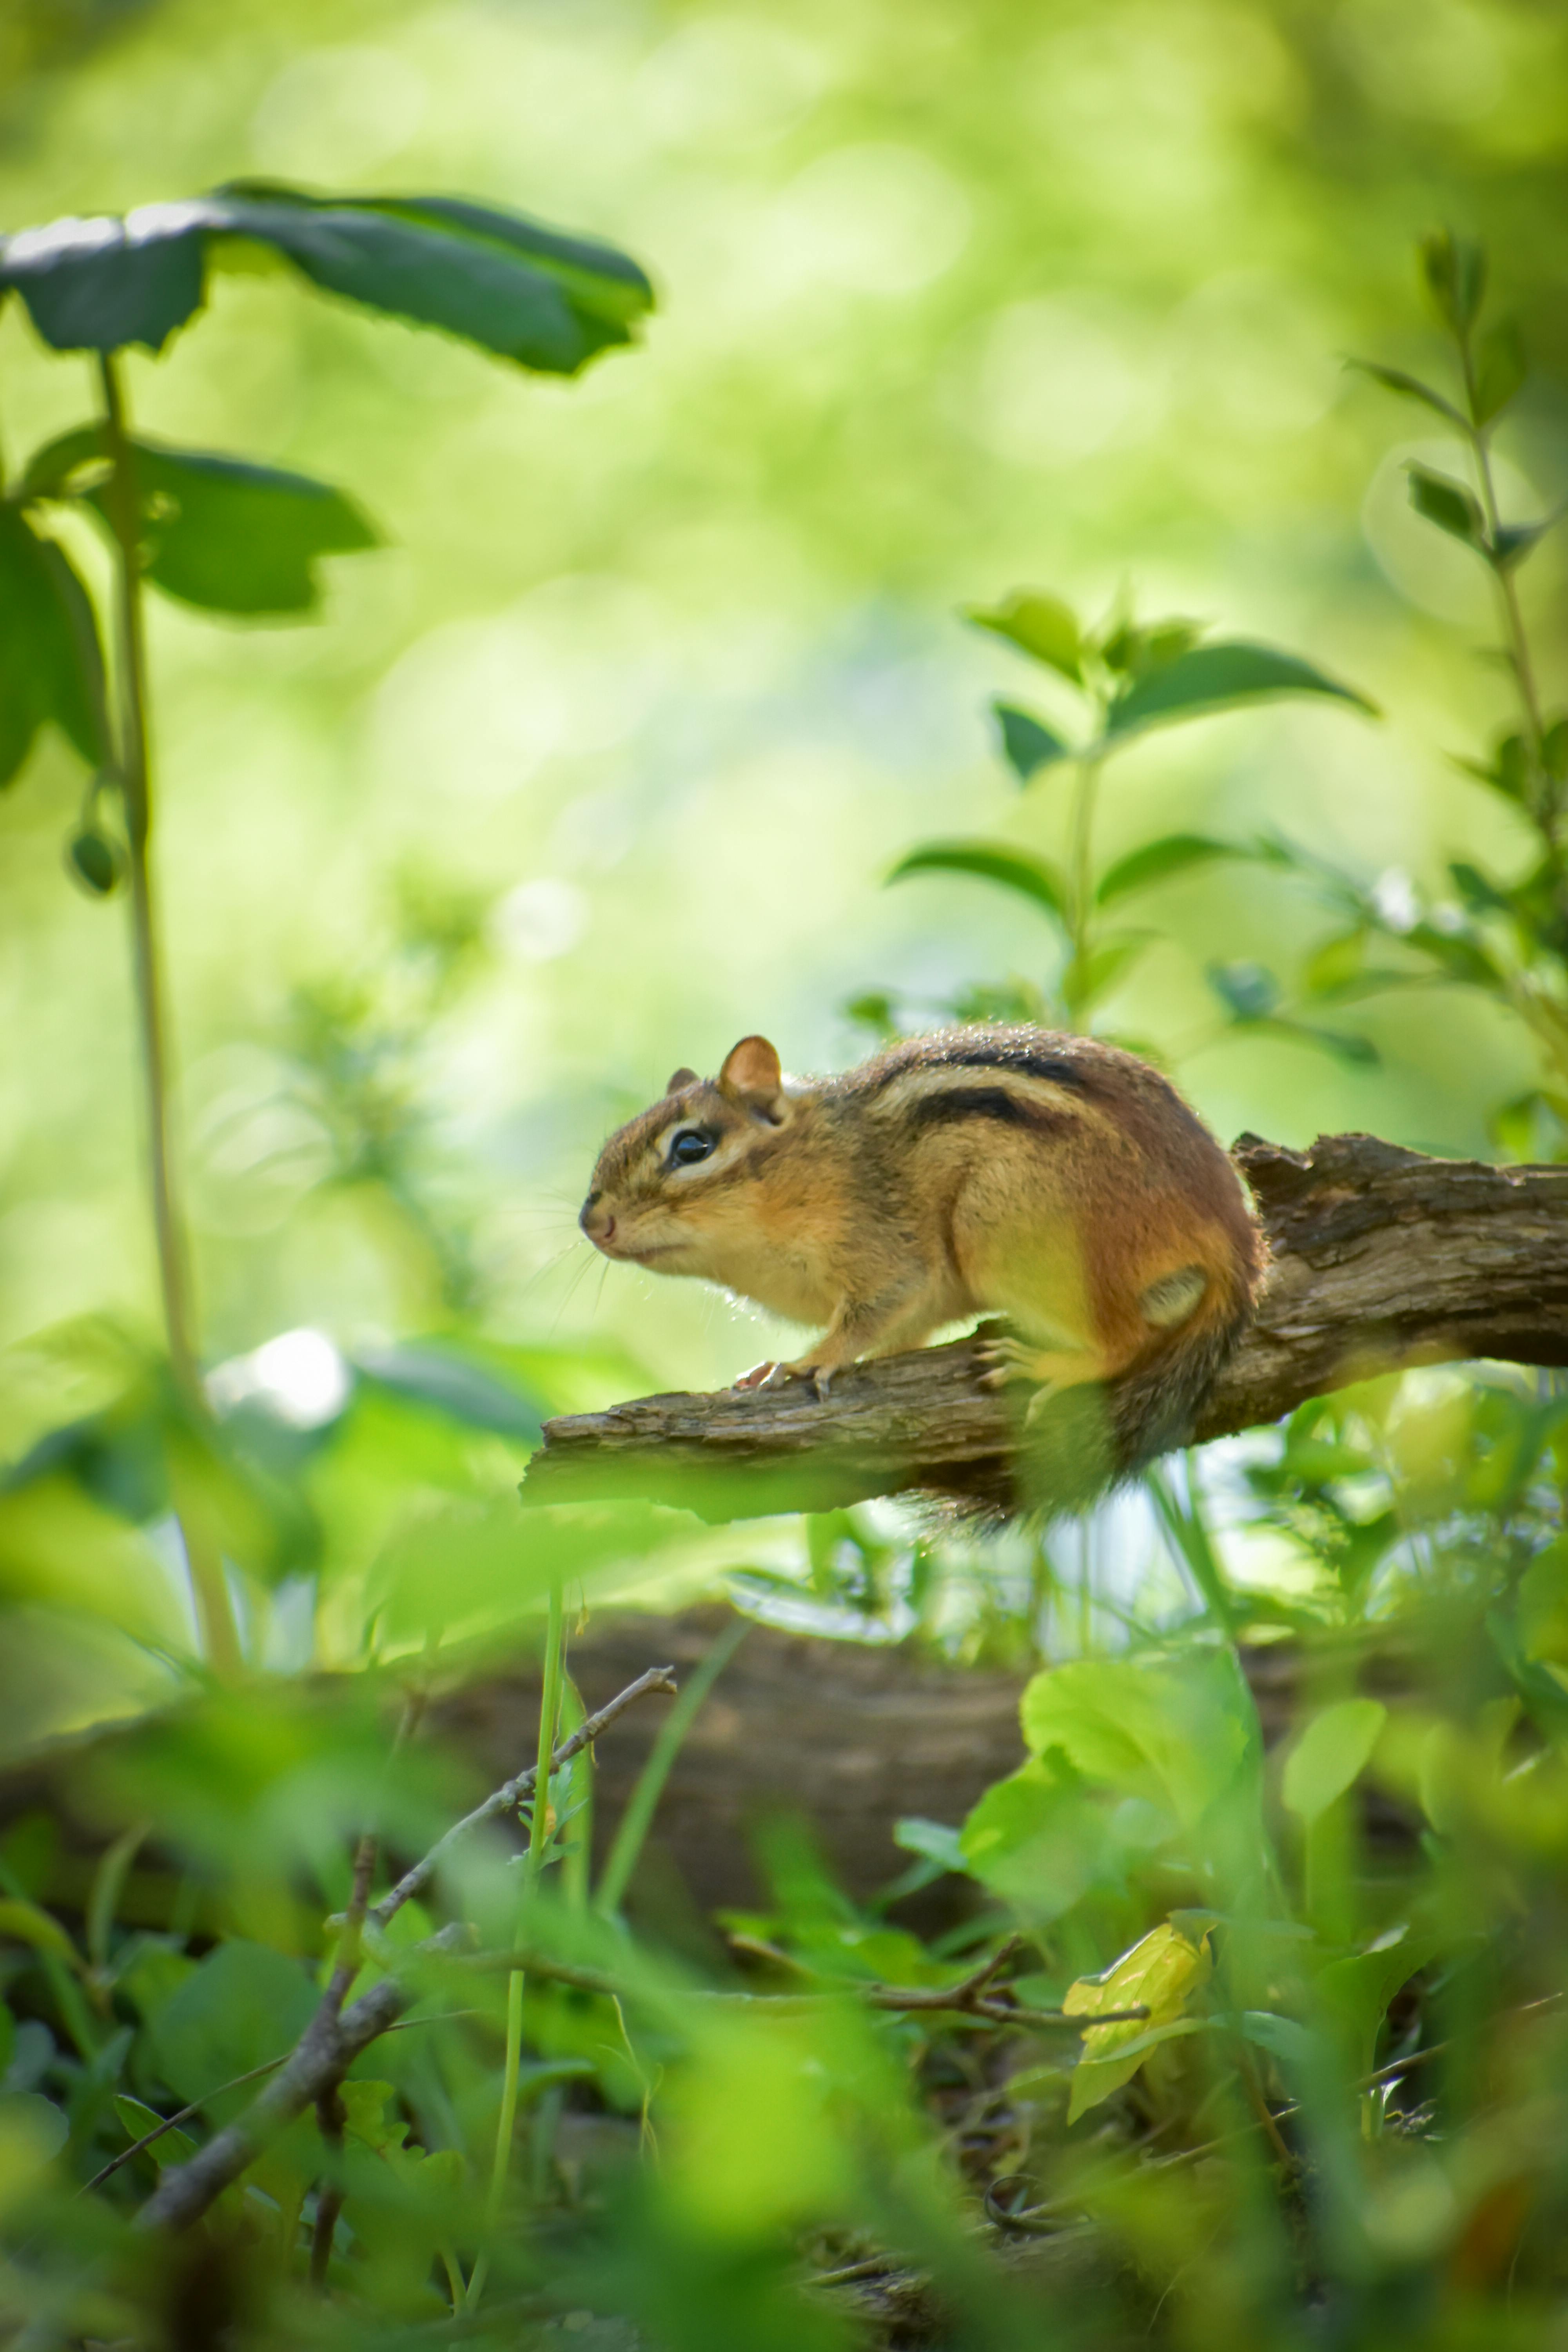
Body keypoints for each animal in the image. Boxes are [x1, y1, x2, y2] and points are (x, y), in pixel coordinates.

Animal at [579, 1025, 1264, 1496]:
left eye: (692, 1147)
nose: (593, 1223)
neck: (814, 1160)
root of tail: (1239, 1245)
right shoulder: (919, 1303)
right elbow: (900, 1333)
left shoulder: (888, 1255)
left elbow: (871, 1314)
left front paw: (807, 1362)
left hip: (1003, 1224)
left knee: (1125, 1341)